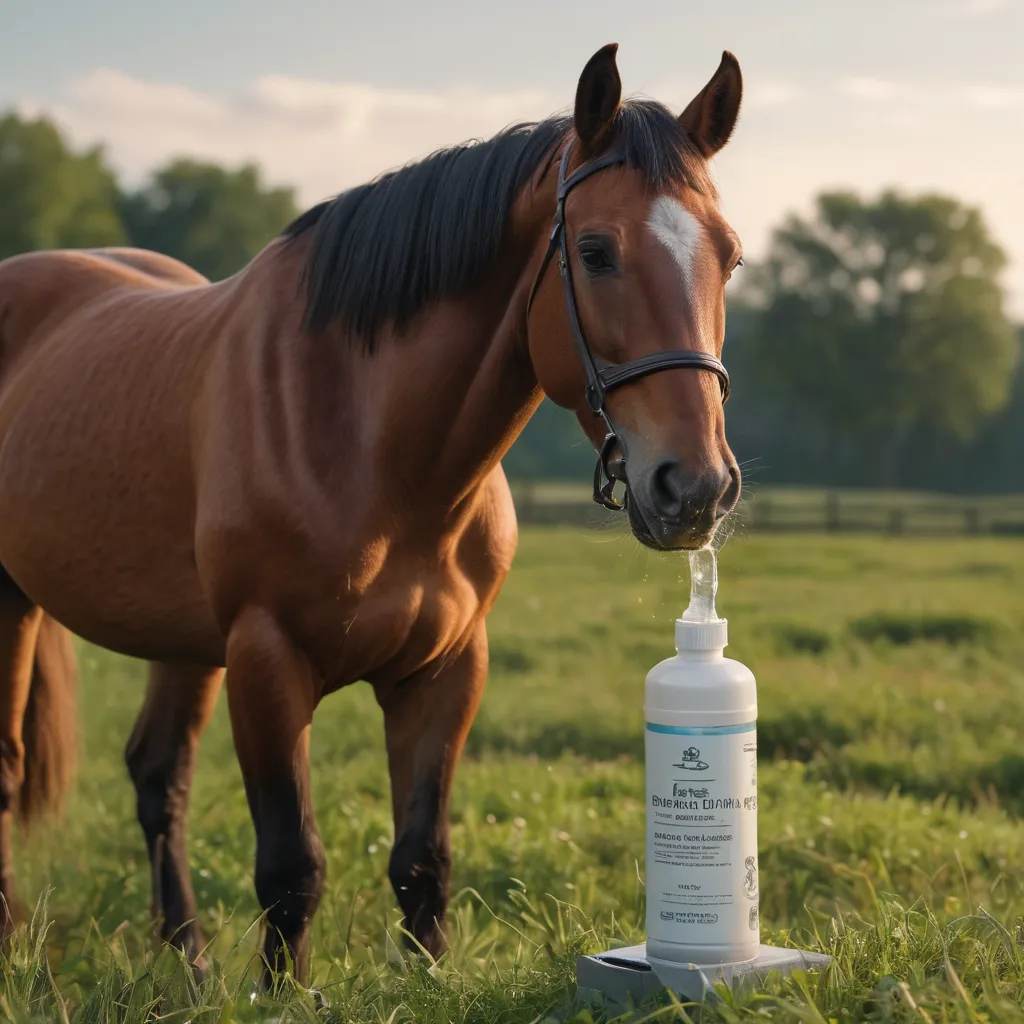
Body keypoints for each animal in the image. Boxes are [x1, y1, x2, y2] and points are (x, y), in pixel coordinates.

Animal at [0, 44, 744, 984]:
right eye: (596, 250)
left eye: (731, 257)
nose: (697, 488)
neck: (375, 451)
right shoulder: (266, 660)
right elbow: (291, 863)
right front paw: (281, 991)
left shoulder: (445, 671)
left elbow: (422, 858)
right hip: (16, 605)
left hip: (181, 640)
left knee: (157, 775)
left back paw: (189, 961)